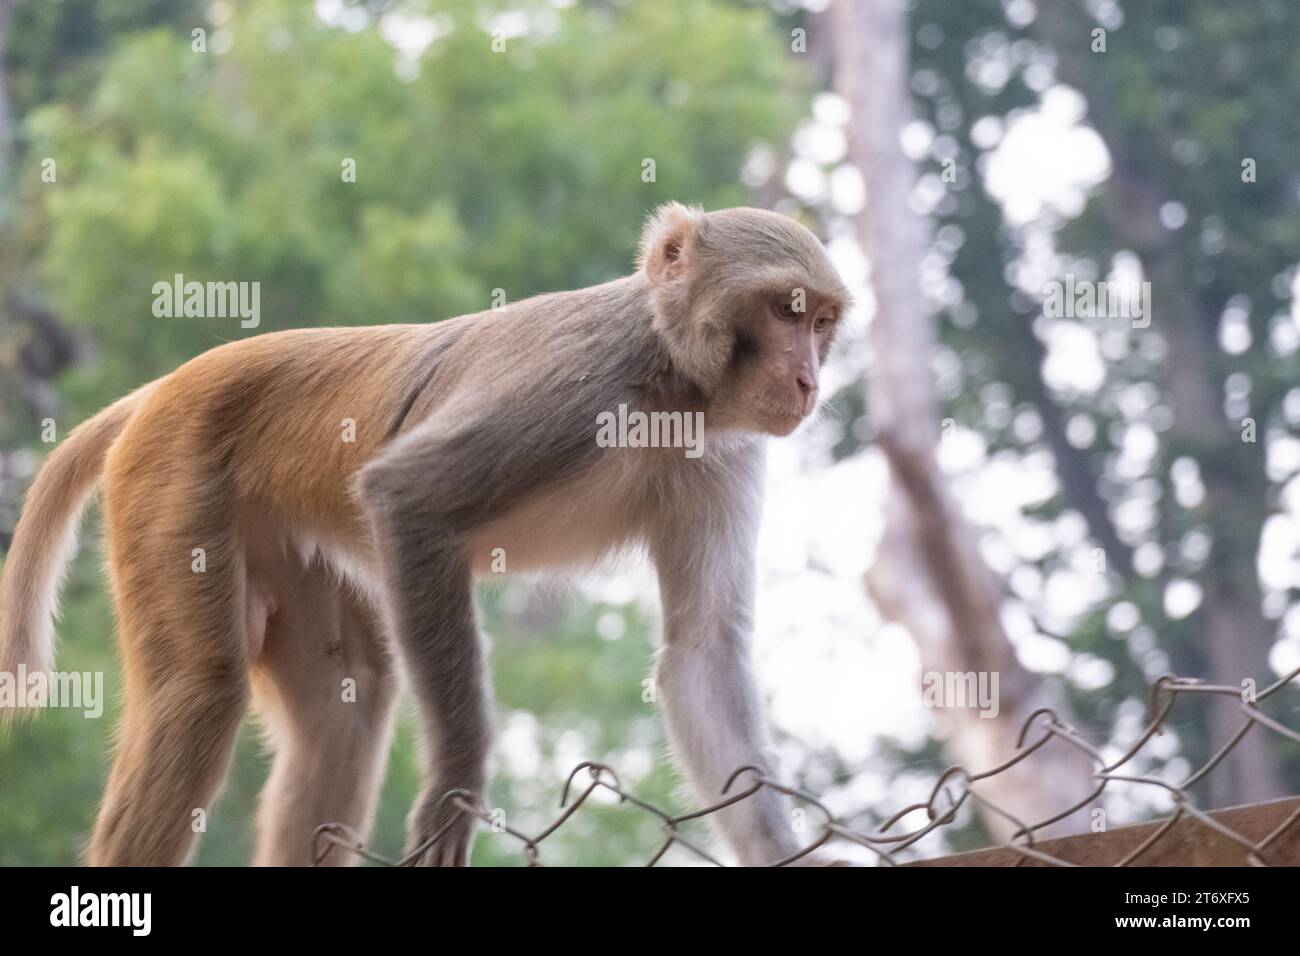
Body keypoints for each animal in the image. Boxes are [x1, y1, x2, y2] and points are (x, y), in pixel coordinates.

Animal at [0, 202, 850, 866]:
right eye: (785, 311)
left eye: (821, 322)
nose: (809, 381)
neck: (676, 382)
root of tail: (160, 388)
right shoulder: (584, 390)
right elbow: (409, 501)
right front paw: (453, 792)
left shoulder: (723, 454)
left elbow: (700, 650)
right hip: (173, 472)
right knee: (198, 696)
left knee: (344, 703)